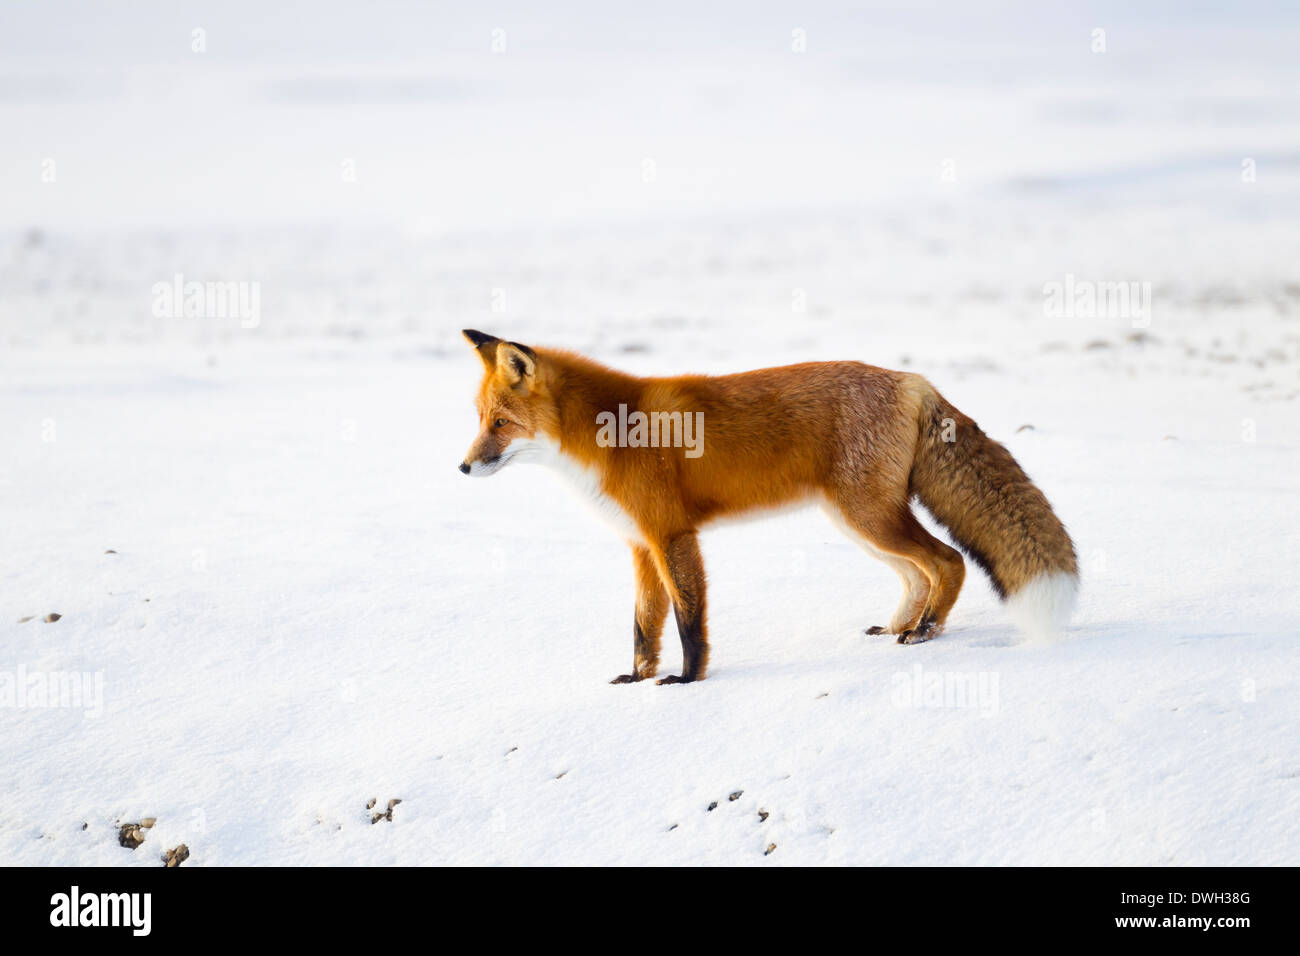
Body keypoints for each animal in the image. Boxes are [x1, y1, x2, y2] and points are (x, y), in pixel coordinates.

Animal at [459, 329, 1078, 685]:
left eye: (500, 424)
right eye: (480, 420)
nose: (463, 468)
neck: (610, 433)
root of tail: (912, 380)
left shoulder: (672, 535)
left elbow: (688, 621)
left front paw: (688, 681)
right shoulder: (640, 544)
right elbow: (643, 626)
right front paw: (636, 679)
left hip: (869, 517)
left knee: (947, 561)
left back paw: (925, 631)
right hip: (856, 521)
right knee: (917, 573)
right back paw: (900, 627)